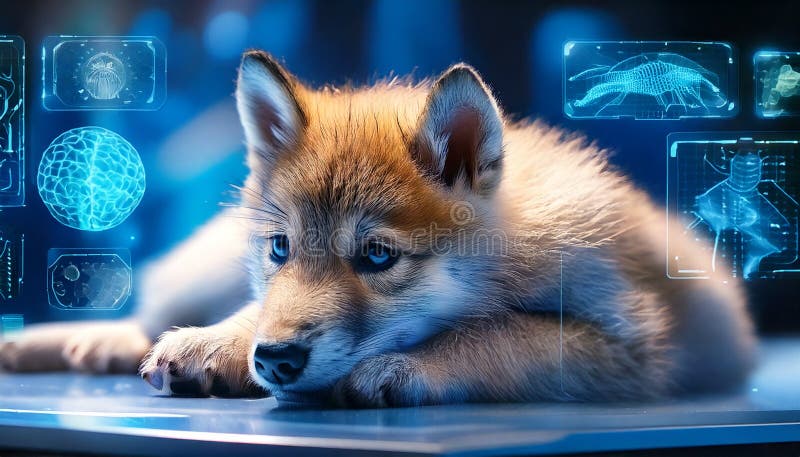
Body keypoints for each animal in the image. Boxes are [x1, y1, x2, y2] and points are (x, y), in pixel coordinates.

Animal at [0, 51, 755, 407]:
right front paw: (218, 345)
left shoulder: (630, 348)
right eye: (281, 248)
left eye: (378, 256)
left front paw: (410, 366)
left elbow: (506, 332)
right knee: (150, 310)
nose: (276, 361)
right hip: (198, 270)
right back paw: (81, 341)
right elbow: (257, 310)